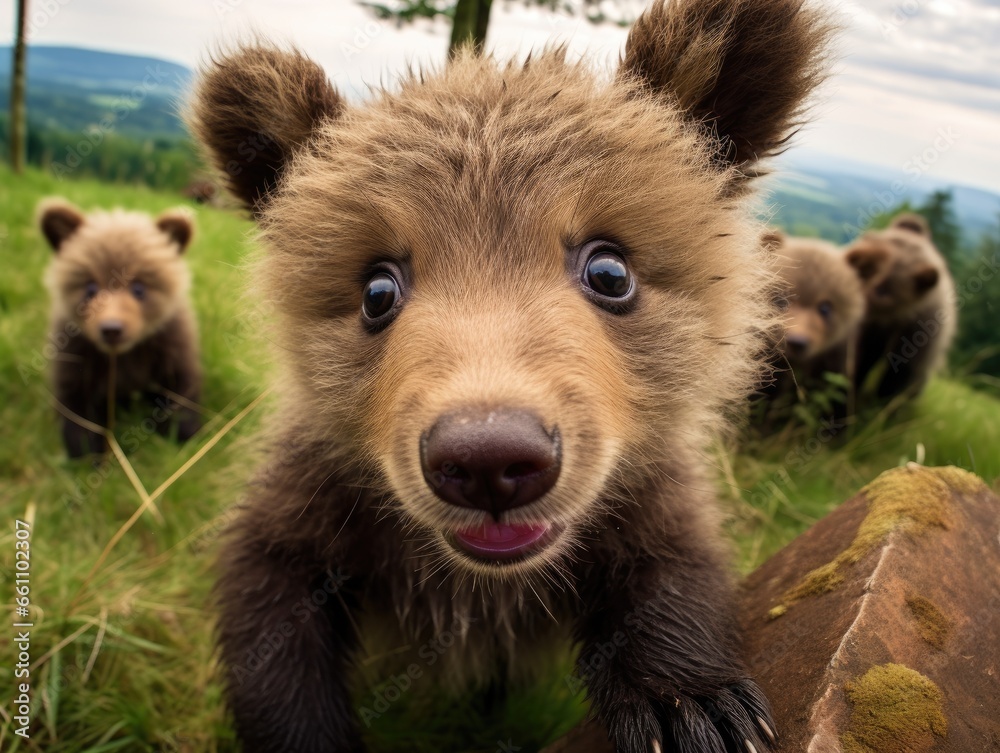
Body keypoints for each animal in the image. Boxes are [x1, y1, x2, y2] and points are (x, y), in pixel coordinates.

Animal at [39, 198, 203, 458]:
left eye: (139, 287)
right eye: (90, 287)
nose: (112, 328)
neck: (124, 356)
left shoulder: (172, 343)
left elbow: (180, 387)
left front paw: (182, 434)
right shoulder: (74, 354)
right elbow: (75, 405)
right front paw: (85, 450)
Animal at [188, 0, 831, 751]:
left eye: (610, 270)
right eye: (377, 289)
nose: (488, 458)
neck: (476, 585)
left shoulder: (648, 490)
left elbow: (673, 565)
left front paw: (694, 706)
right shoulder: (318, 497)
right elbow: (271, 607)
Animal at [845, 212, 957, 401]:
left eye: (882, 289)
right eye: (856, 268)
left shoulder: (919, 329)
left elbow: (903, 368)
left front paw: (884, 400)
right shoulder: (871, 327)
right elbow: (863, 355)